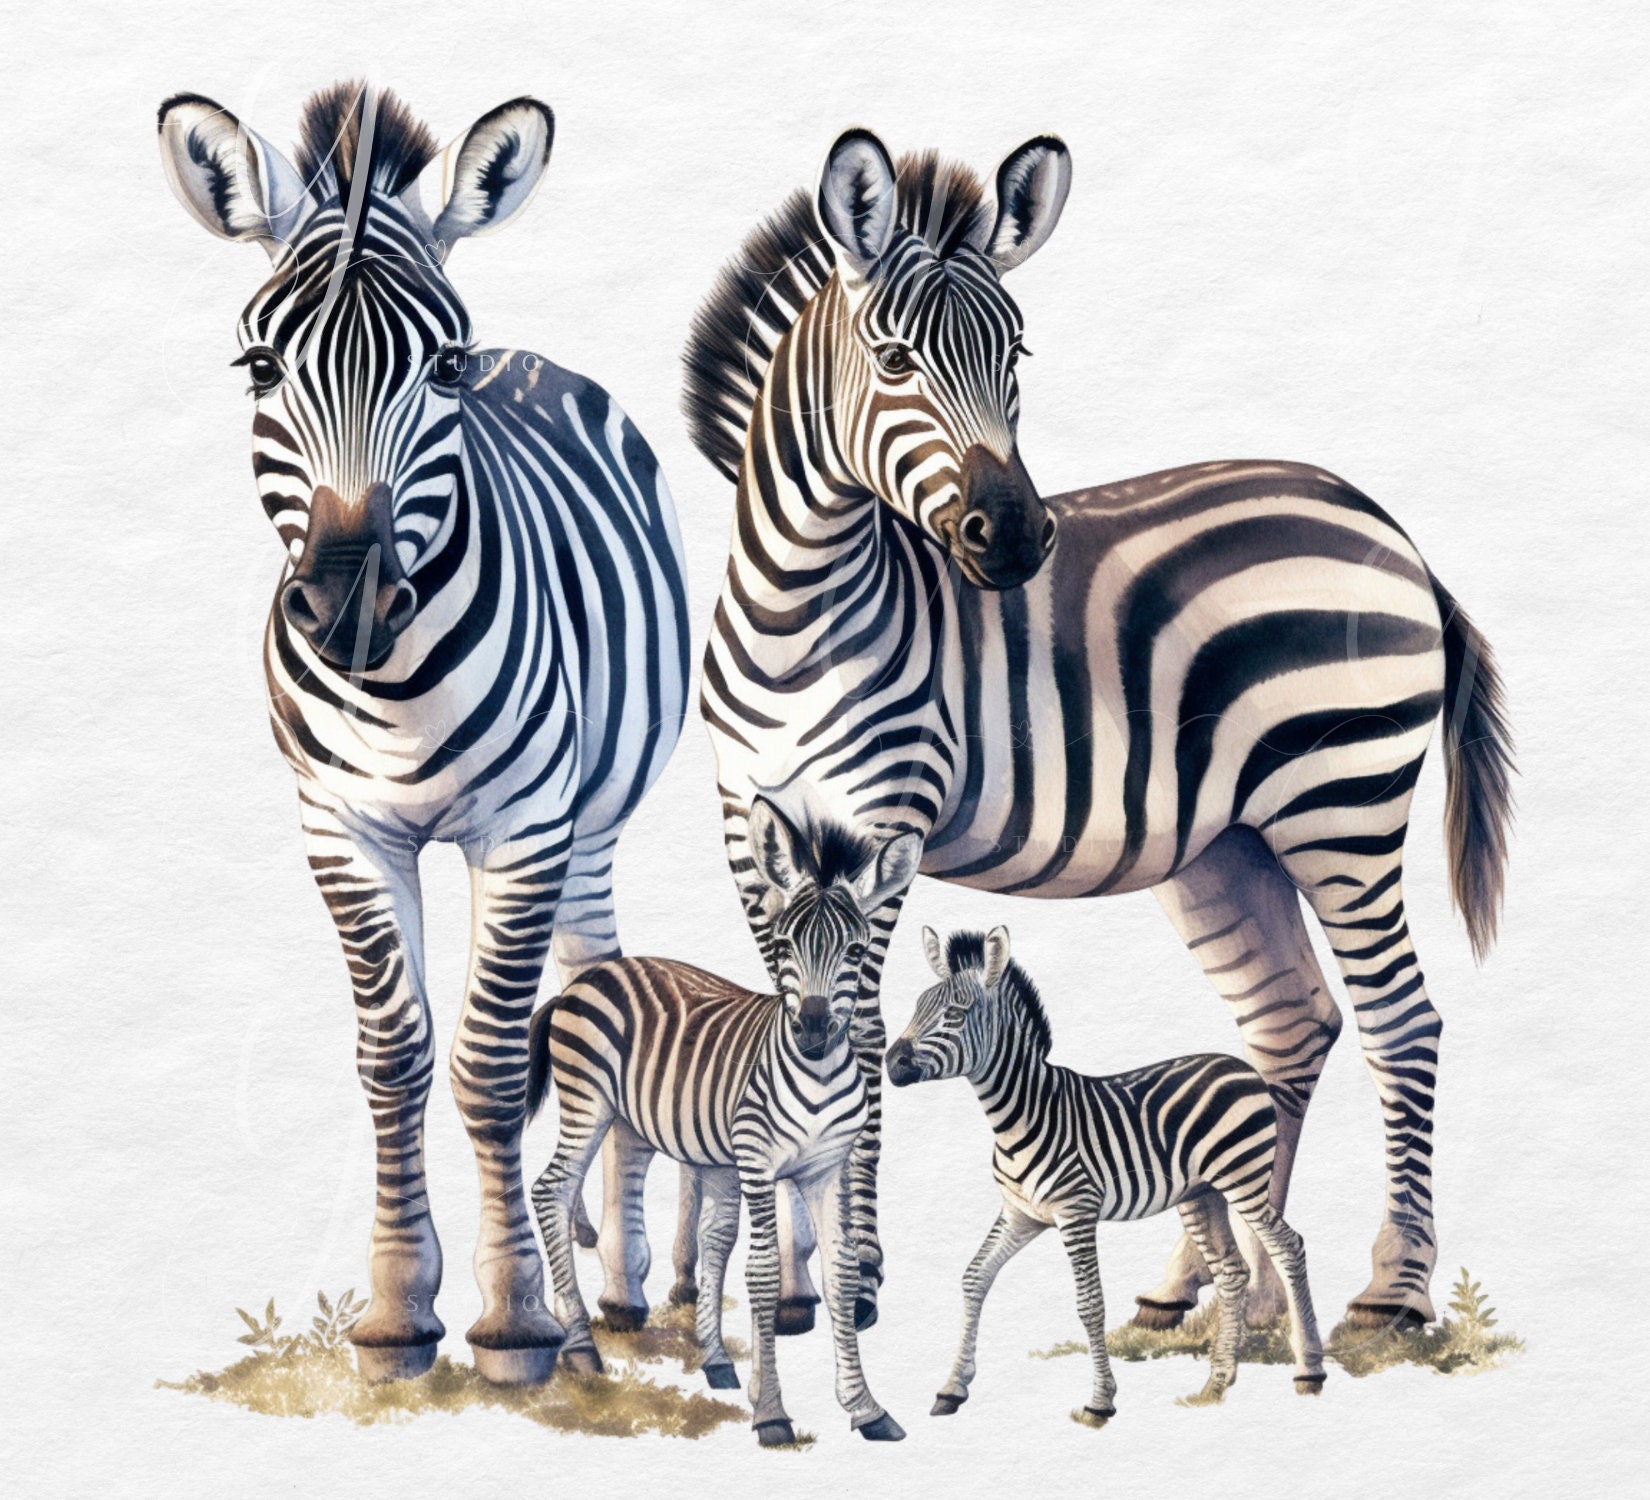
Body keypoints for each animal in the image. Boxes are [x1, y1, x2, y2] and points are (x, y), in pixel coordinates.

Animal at [157, 82, 689, 1384]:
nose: (349, 602)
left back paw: (616, 1288)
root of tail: (531, 358)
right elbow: (392, 1054)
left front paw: (516, 1318)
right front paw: (401, 1310)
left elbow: (493, 1062)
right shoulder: (343, 830)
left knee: (599, 985)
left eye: (440, 366)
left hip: (592, 825)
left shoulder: (525, 832)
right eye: (258, 363)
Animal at [525, 797, 915, 1445]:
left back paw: (706, 1359)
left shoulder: (824, 1170)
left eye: (856, 952)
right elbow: (760, 1271)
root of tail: (588, 980)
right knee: (551, 1190)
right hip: (588, 1103)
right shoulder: (755, 1163)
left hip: (638, 1123)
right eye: (782, 946)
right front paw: (773, 1413)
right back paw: (581, 1348)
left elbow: (835, 1272)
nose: (813, 1031)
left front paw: (865, 1409)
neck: (816, 1076)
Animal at [679, 126, 1513, 1335]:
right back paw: (1221, 1292)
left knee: (1401, 1021)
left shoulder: (887, 822)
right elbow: (794, 1018)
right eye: (893, 359)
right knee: (1290, 1022)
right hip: (1230, 844)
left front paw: (856, 1272)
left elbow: (858, 1032)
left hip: (1341, 805)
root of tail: (1386, 526)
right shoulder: (751, 828)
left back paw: (1391, 1287)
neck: (803, 612)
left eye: (1016, 354)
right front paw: (789, 1284)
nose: (1019, 537)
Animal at [886, 925, 1327, 1420]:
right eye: (918, 1004)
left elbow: (1089, 1304)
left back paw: (1309, 1370)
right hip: (1201, 1194)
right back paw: (1216, 1382)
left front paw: (1100, 1401)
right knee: (1232, 1272)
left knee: (1289, 1246)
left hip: (1243, 1180)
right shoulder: (1021, 1215)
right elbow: (974, 1278)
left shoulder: (1075, 1211)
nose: (891, 1063)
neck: (1020, 1114)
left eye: (955, 1014)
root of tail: (1243, 1068)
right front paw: (952, 1388)